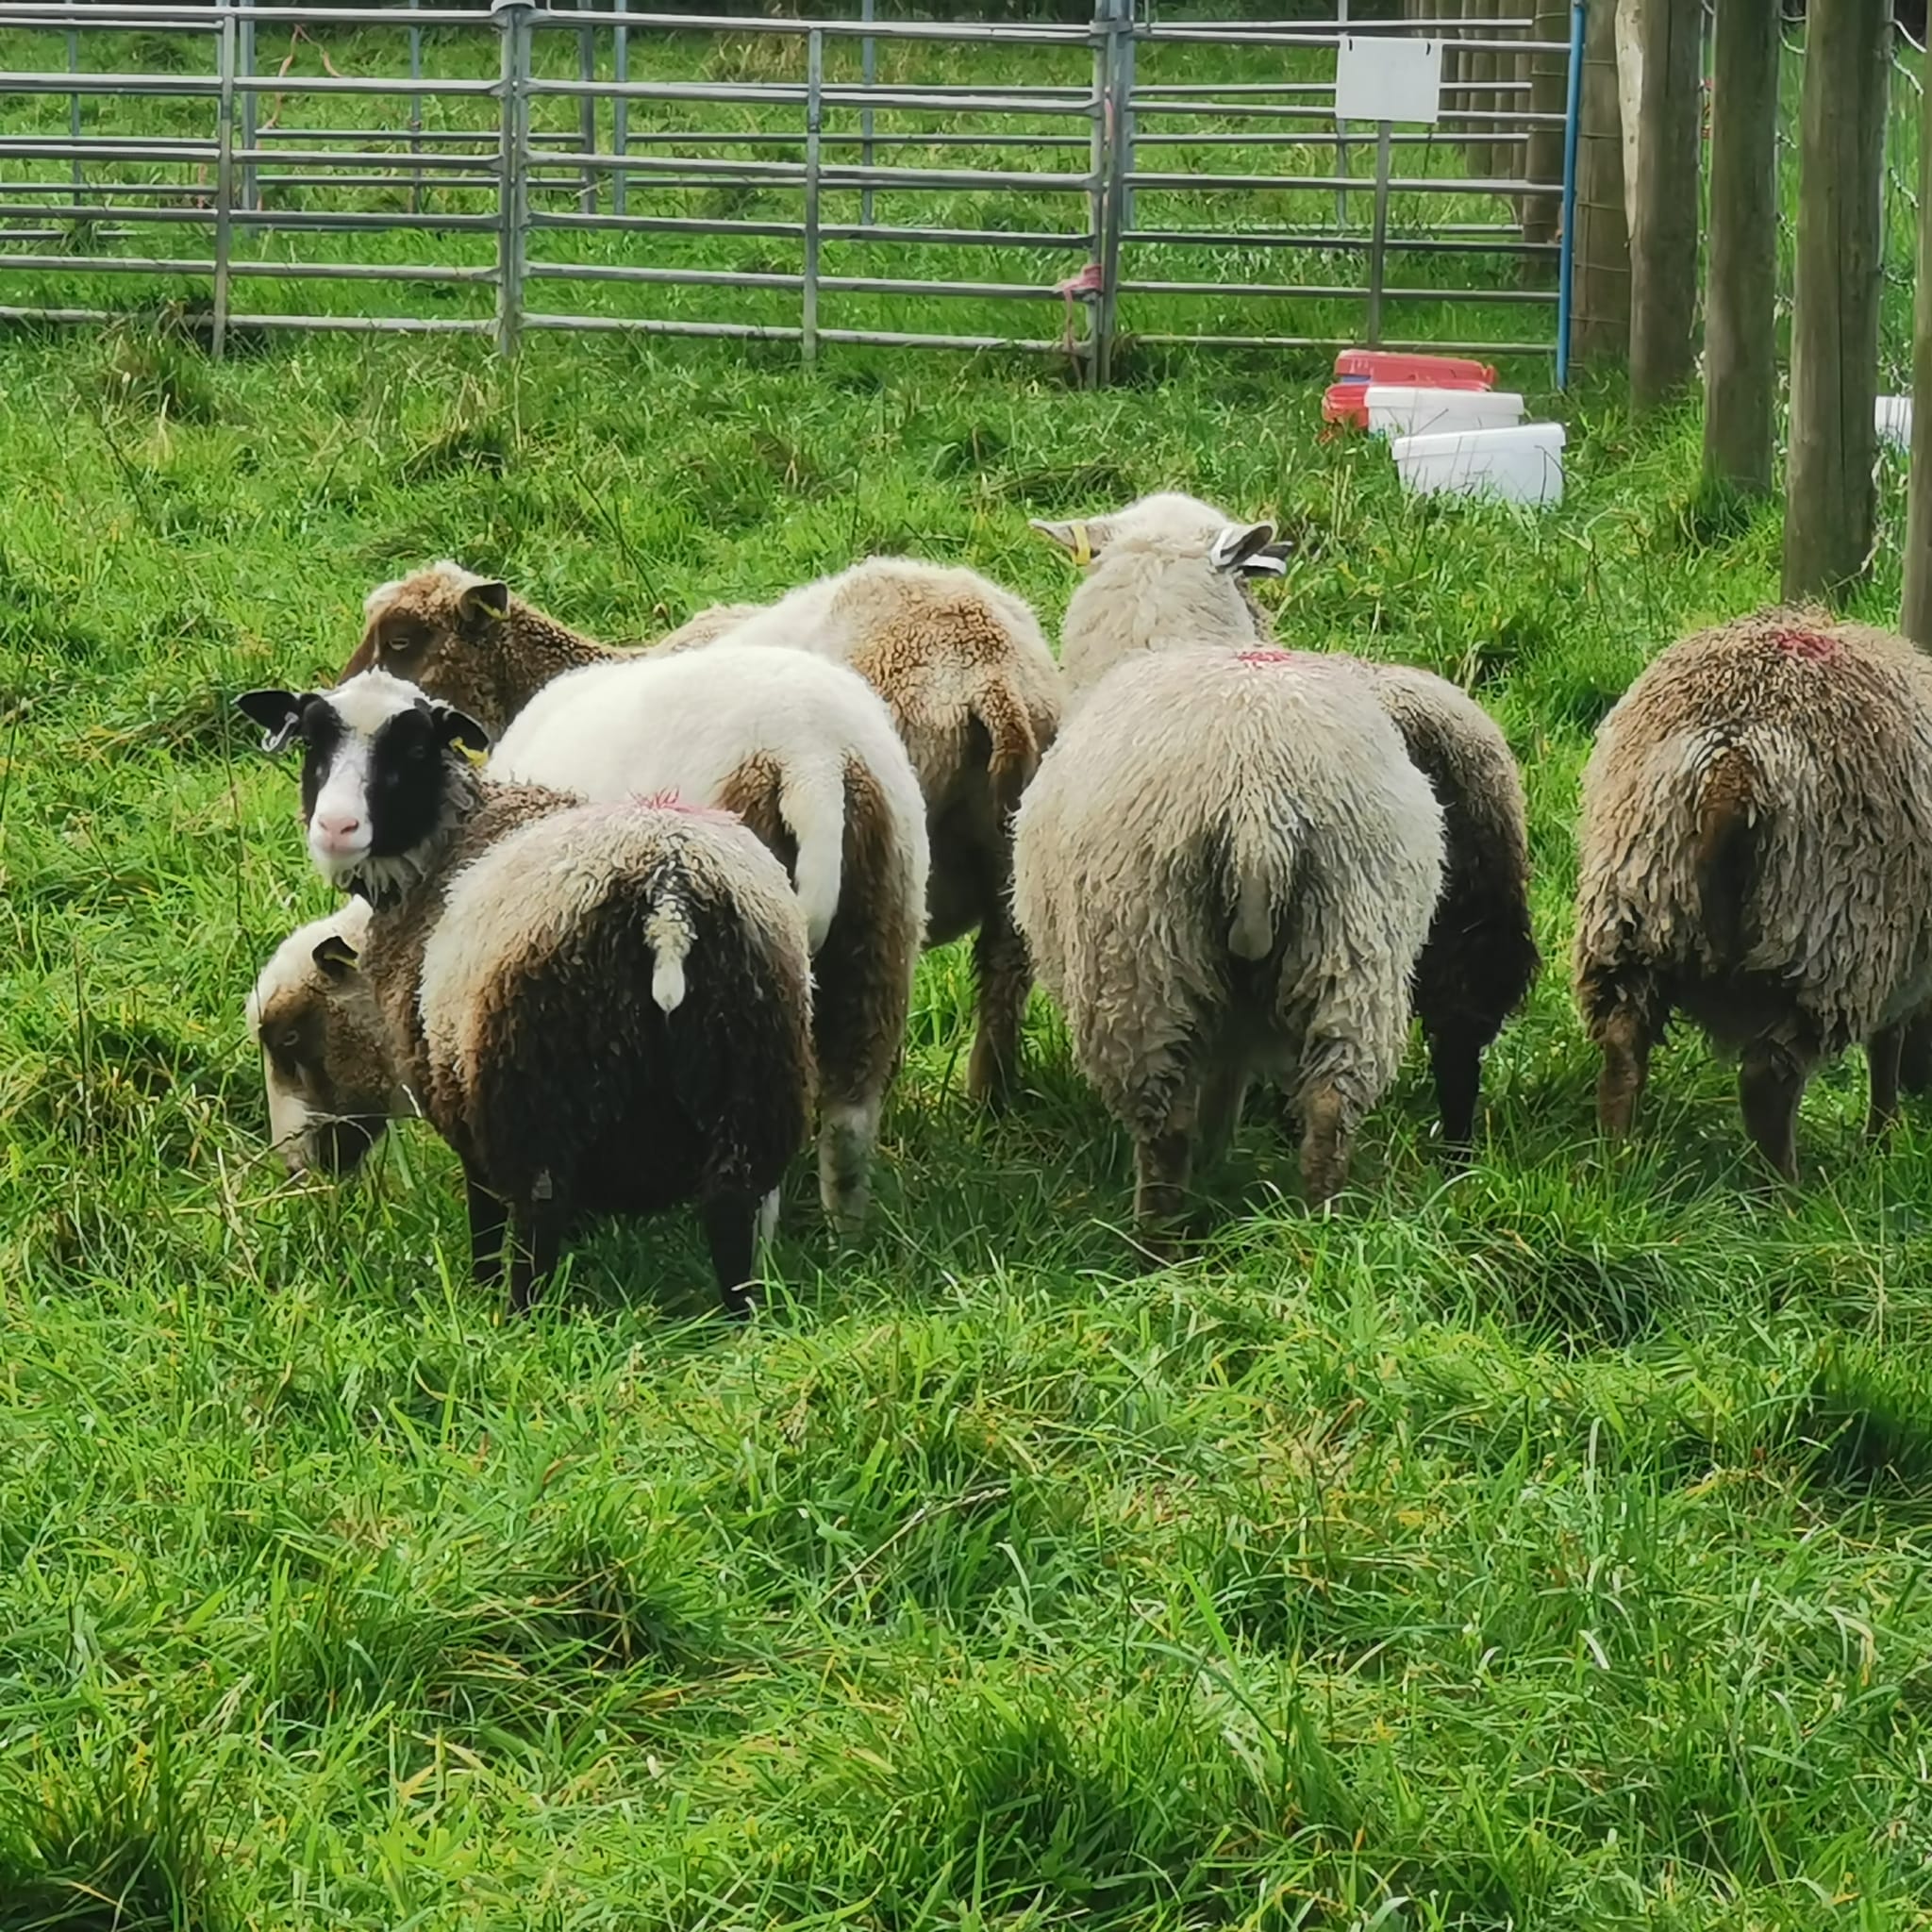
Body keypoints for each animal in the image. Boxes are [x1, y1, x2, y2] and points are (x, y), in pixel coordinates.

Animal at [1012, 647, 1445, 1247]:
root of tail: (1257, 804)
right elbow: (1226, 1084)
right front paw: (1218, 1157)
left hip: (1141, 955)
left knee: (1165, 1128)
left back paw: (1155, 1244)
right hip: (1355, 935)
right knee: (1333, 1105)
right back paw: (1321, 1227)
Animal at [1573, 606, 1932, 1180]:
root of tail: (1733, 760)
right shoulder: (1899, 968)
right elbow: (1887, 1048)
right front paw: (1883, 1142)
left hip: (1632, 907)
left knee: (1623, 1042)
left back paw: (1617, 1160)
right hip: (1826, 944)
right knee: (1768, 1082)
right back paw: (1787, 1191)